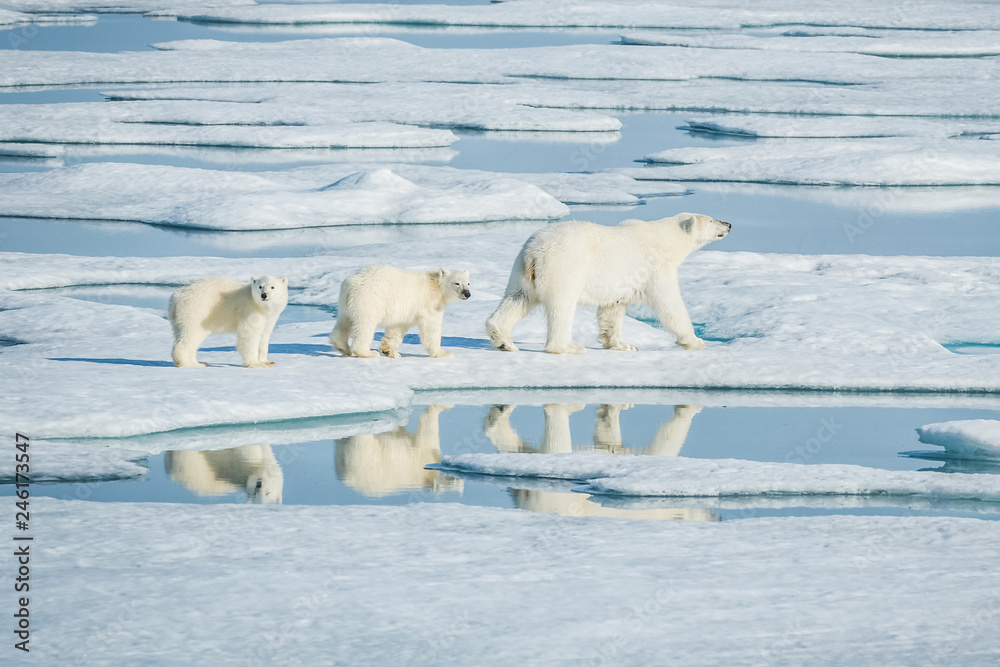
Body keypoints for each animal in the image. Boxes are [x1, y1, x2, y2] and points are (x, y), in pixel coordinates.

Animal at [330, 265, 471, 359]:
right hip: (370, 300)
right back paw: (367, 352)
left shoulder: (404, 311)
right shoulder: (429, 305)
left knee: (345, 322)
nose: (467, 294)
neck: (436, 285)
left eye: (468, 283)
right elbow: (431, 329)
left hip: (346, 302)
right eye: (457, 283)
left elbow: (397, 328)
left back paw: (343, 347)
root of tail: (352, 283)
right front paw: (444, 353)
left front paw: (391, 351)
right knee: (365, 325)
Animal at [486, 213, 730, 354]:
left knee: (517, 299)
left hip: (521, 272)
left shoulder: (620, 284)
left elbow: (613, 309)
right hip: (563, 266)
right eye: (711, 219)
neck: (666, 240)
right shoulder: (655, 267)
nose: (728, 224)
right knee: (562, 306)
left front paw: (623, 345)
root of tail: (533, 253)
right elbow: (669, 303)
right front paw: (695, 341)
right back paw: (568, 347)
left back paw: (504, 341)